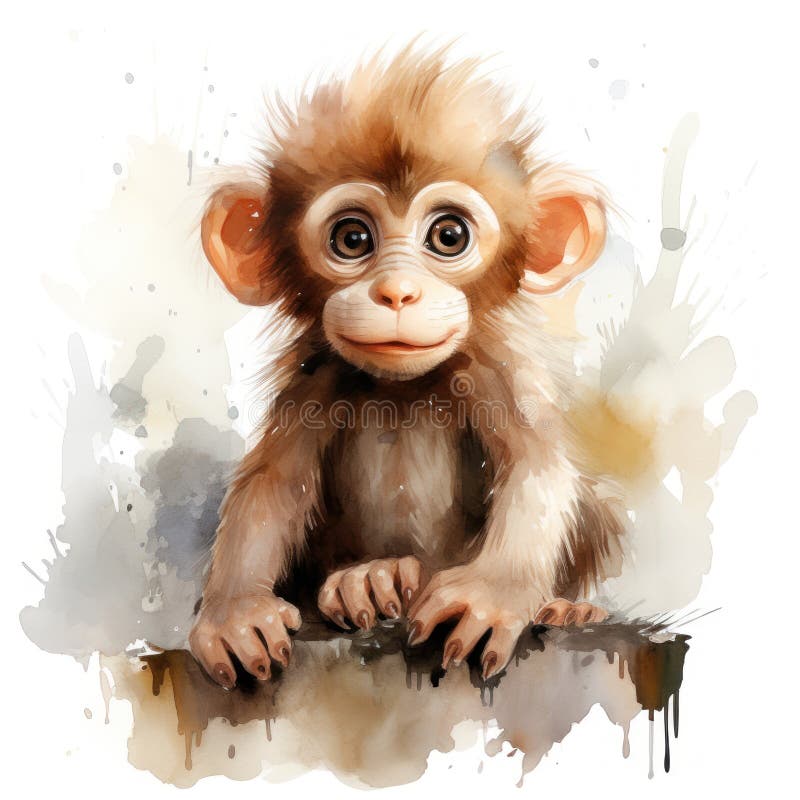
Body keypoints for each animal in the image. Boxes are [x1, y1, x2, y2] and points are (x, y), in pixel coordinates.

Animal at [188, 45, 626, 691]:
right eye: (352, 239)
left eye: (448, 235)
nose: (396, 293)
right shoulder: (315, 375)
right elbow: (272, 485)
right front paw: (235, 610)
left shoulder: (496, 363)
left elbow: (537, 468)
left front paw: (492, 594)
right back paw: (369, 579)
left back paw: (560, 606)